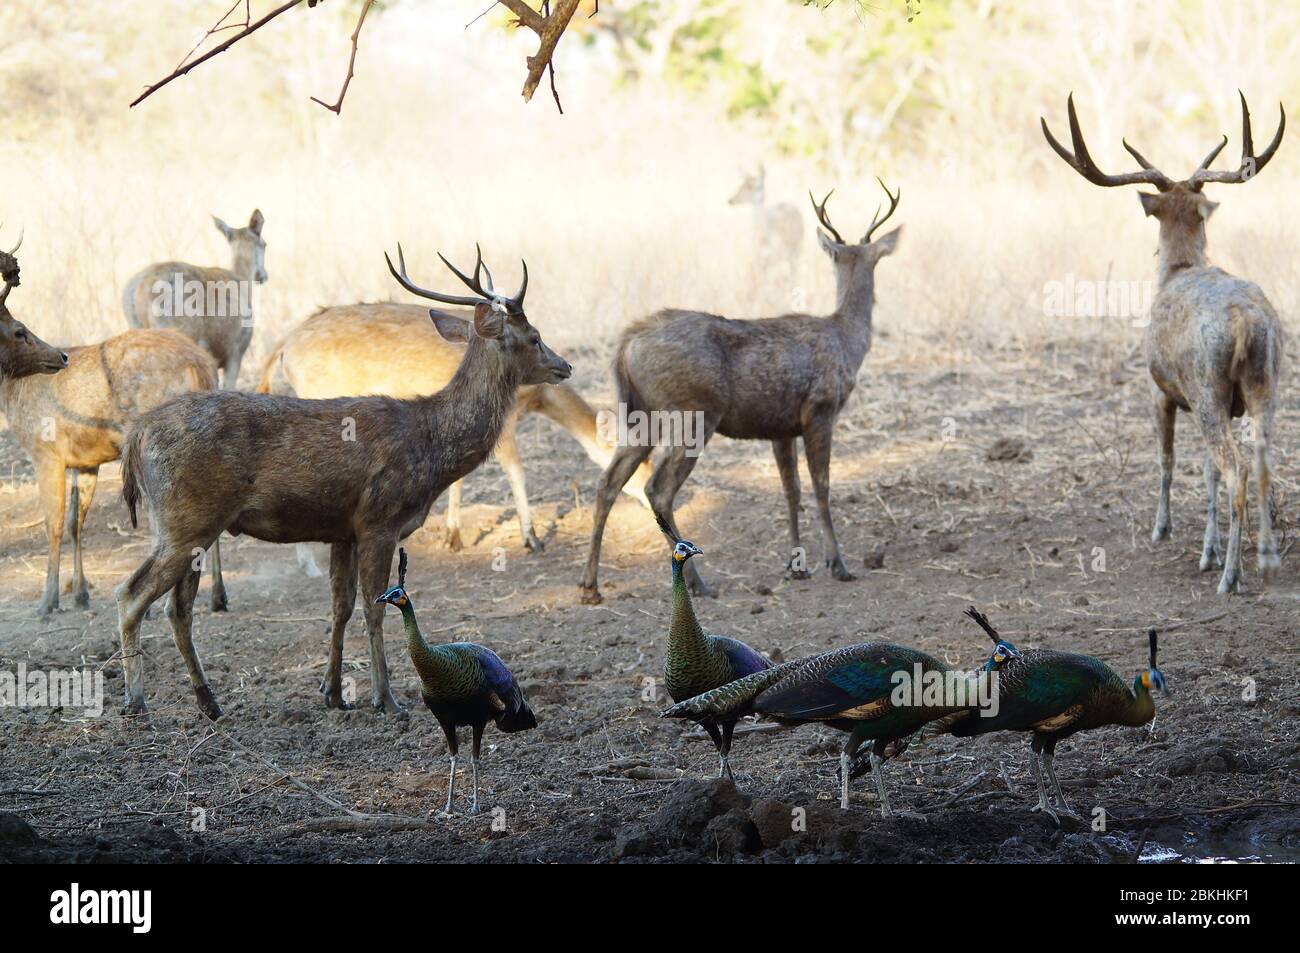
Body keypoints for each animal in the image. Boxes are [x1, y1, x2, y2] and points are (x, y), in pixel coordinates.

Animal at [114, 246, 571, 720]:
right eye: (534, 336)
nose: (565, 365)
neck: (430, 447)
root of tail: (136, 435)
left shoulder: (343, 530)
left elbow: (340, 607)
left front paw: (332, 691)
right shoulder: (380, 520)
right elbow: (374, 607)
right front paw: (386, 699)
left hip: (190, 527)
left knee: (178, 609)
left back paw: (210, 702)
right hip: (185, 521)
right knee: (131, 595)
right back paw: (137, 702)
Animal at [256, 302, 651, 570]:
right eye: (640, 460)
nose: (649, 496)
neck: (535, 398)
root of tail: (284, 346)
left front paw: (454, 535)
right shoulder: (506, 420)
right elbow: (515, 470)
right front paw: (532, 538)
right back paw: (307, 563)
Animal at [579, 183, 901, 603]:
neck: (846, 341)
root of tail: (627, 343)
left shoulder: (782, 428)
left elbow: (792, 491)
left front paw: (797, 565)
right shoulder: (820, 409)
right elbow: (822, 488)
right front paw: (838, 564)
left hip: (642, 416)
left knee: (608, 482)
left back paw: (590, 586)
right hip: (693, 413)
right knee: (657, 488)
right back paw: (697, 582)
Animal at [1042, 93, 1286, 595]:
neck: (1175, 271)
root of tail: (1246, 321)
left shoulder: (1160, 389)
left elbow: (1168, 461)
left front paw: (1164, 530)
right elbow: (1206, 473)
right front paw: (1208, 550)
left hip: (1207, 386)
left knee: (1236, 469)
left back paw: (1232, 577)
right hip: (1265, 382)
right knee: (1261, 462)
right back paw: (1266, 558)